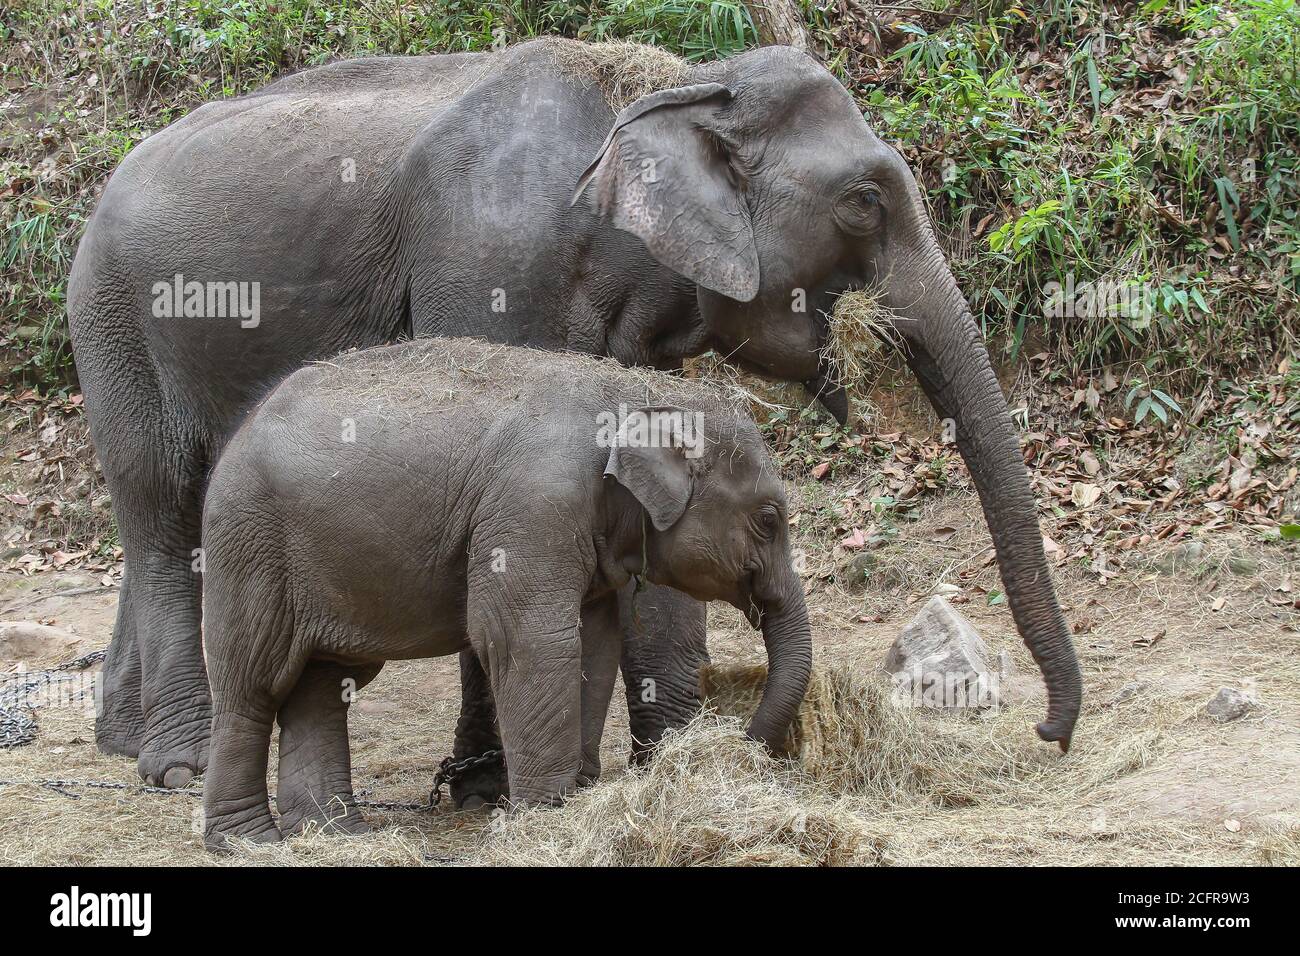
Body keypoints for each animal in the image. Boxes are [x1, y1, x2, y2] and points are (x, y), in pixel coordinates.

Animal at [199, 338, 812, 845]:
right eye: (768, 520)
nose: (749, 747)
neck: (636, 392)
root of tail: (239, 432)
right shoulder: (534, 506)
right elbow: (526, 638)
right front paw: (547, 815)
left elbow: (594, 646)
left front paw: (577, 795)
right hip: (250, 546)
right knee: (252, 684)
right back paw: (247, 841)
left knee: (323, 685)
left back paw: (333, 834)